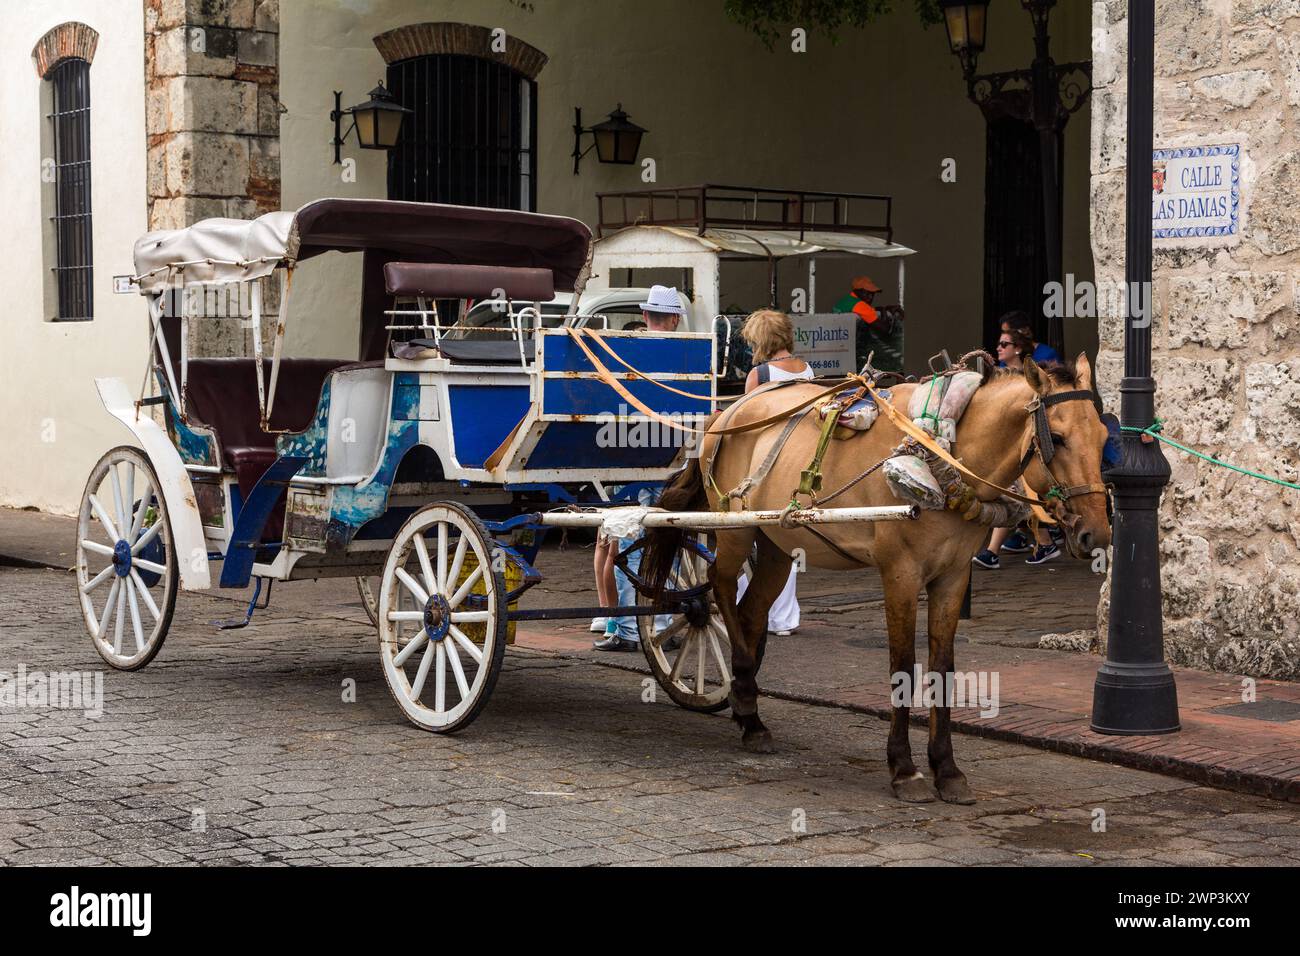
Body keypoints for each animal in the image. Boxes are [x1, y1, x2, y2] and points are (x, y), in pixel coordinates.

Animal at [641, 356, 1111, 805]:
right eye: (1059, 438)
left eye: (1106, 437)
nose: (1097, 535)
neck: (946, 455)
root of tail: (730, 410)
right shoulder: (900, 573)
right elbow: (902, 665)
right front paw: (905, 769)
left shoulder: (953, 576)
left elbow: (943, 668)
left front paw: (947, 770)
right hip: (735, 530)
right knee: (718, 590)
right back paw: (739, 688)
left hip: (776, 543)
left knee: (750, 611)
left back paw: (750, 715)